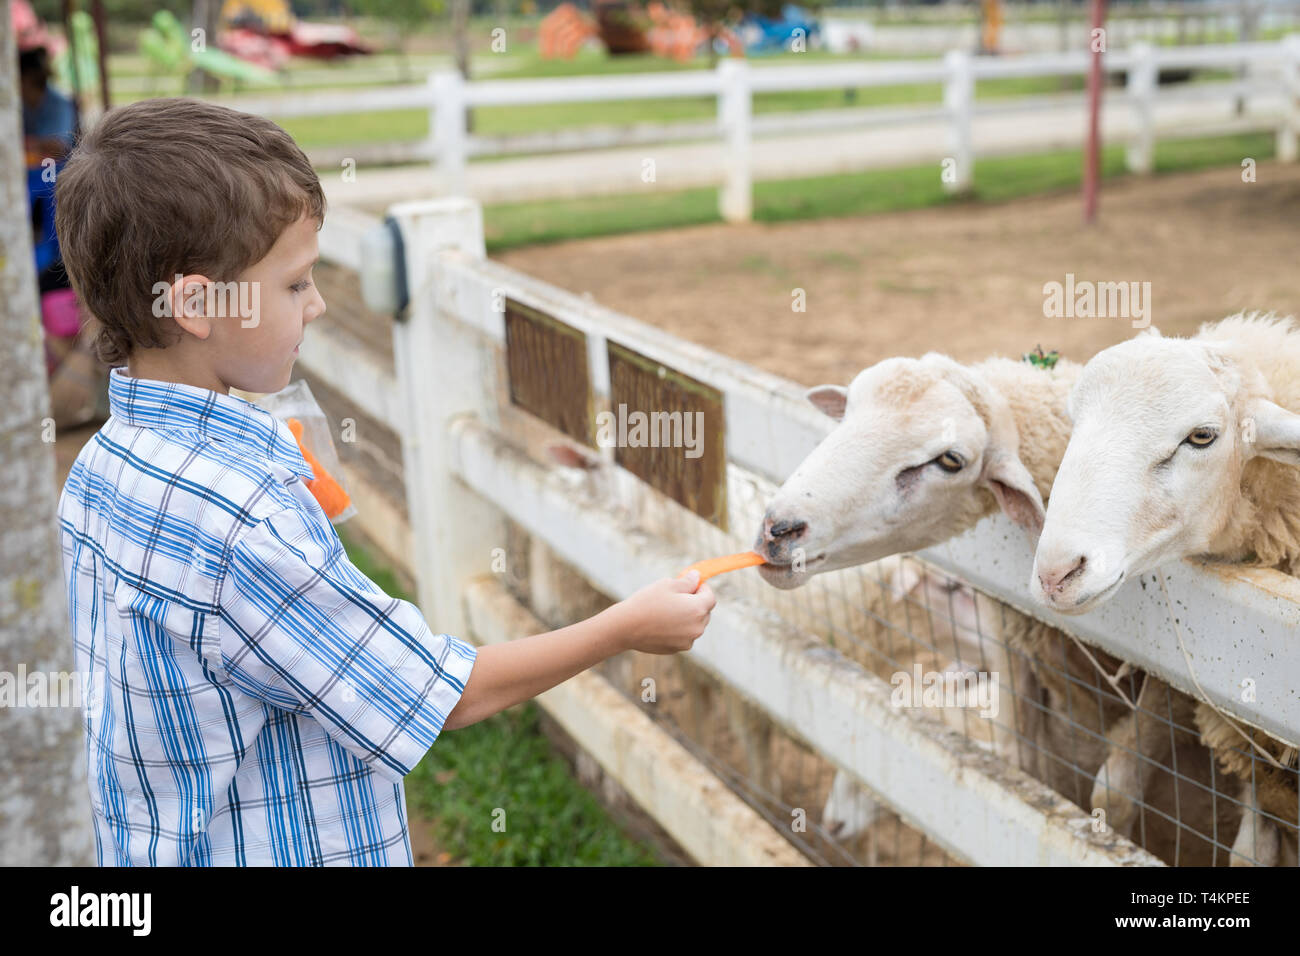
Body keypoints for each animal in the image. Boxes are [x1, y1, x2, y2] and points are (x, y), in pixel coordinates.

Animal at [757, 350, 1235, 864]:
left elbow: (1116, 791)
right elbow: (1018, 760)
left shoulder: (1171, 694)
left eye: (950, 460)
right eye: (846, 412)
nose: (778, 529)